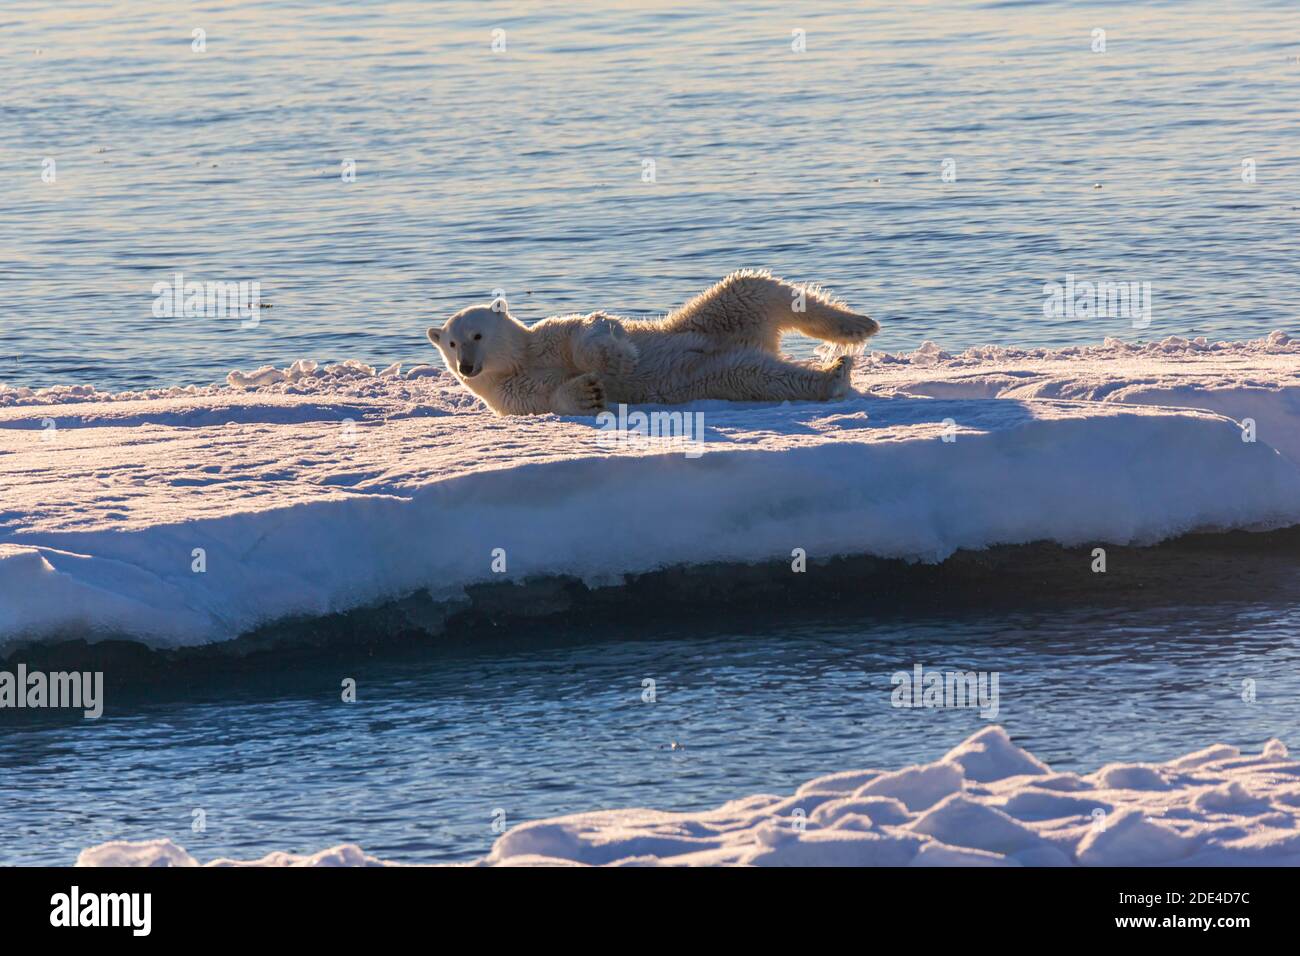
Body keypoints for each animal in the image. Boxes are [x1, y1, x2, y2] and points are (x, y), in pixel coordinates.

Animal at [426, 270, 879, 416]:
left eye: (476, 334)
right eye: (451, 344)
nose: (468, 367)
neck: (518, 360)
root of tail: (758, 341)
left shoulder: (546, 336)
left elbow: (586, 330)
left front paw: (618, 359)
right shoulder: (506, 393)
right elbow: (546, 399)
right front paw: (589, 392)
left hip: (702, 320)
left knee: (751, 288)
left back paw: (857, 326)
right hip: (711, 373)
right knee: (754, 374)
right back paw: (833, 376)